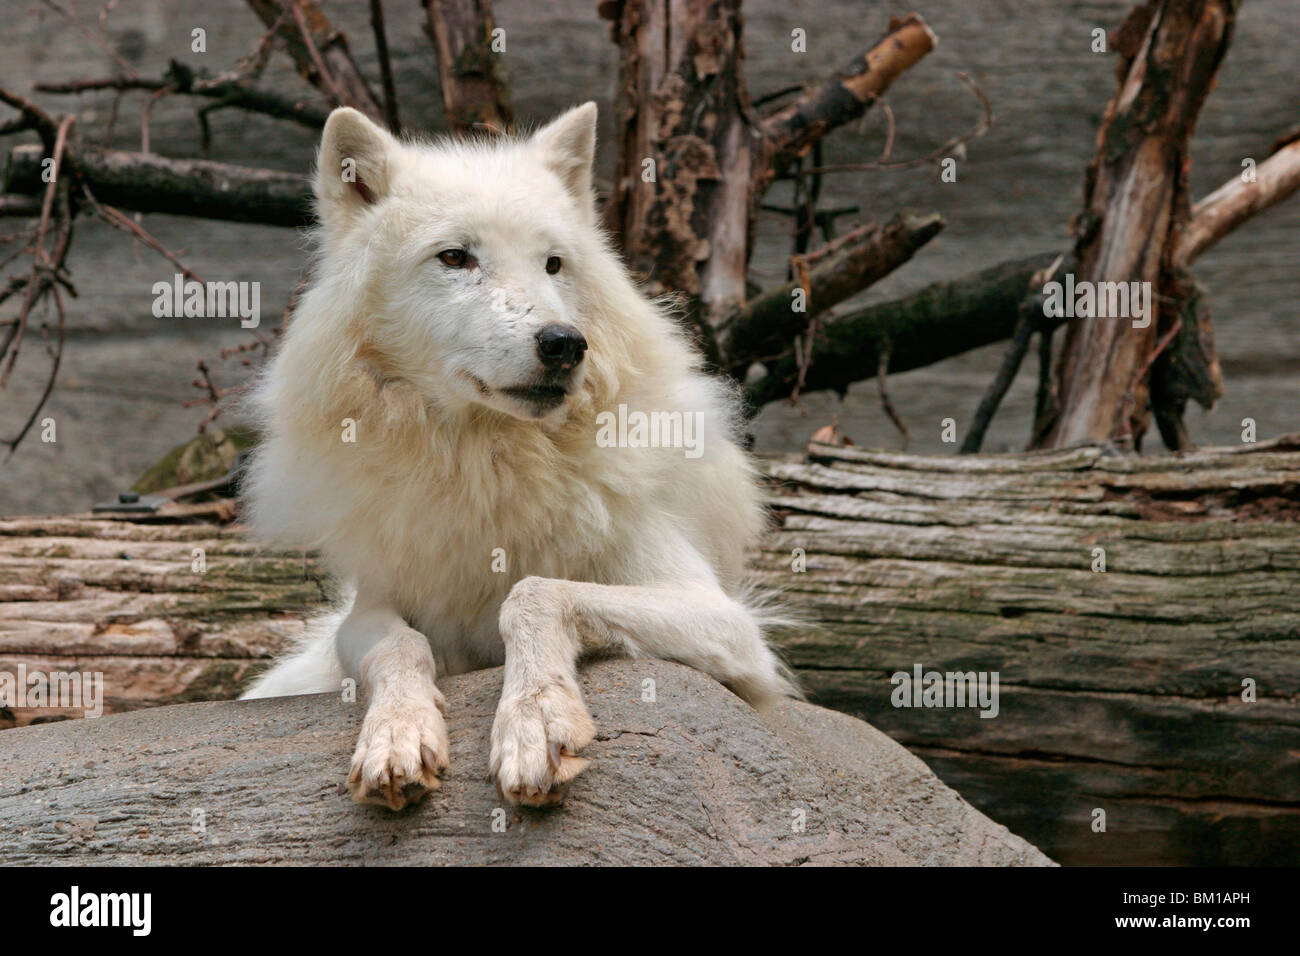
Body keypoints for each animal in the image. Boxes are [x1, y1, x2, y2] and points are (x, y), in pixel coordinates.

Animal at [240, 102, 798, 810]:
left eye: (553, 264)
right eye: (455, 257)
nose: (564, 343)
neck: (488, 460)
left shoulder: (729, 625)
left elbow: (532, 593)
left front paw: (534, 721)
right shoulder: (374, 602)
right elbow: (397, 645)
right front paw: (397, 733)